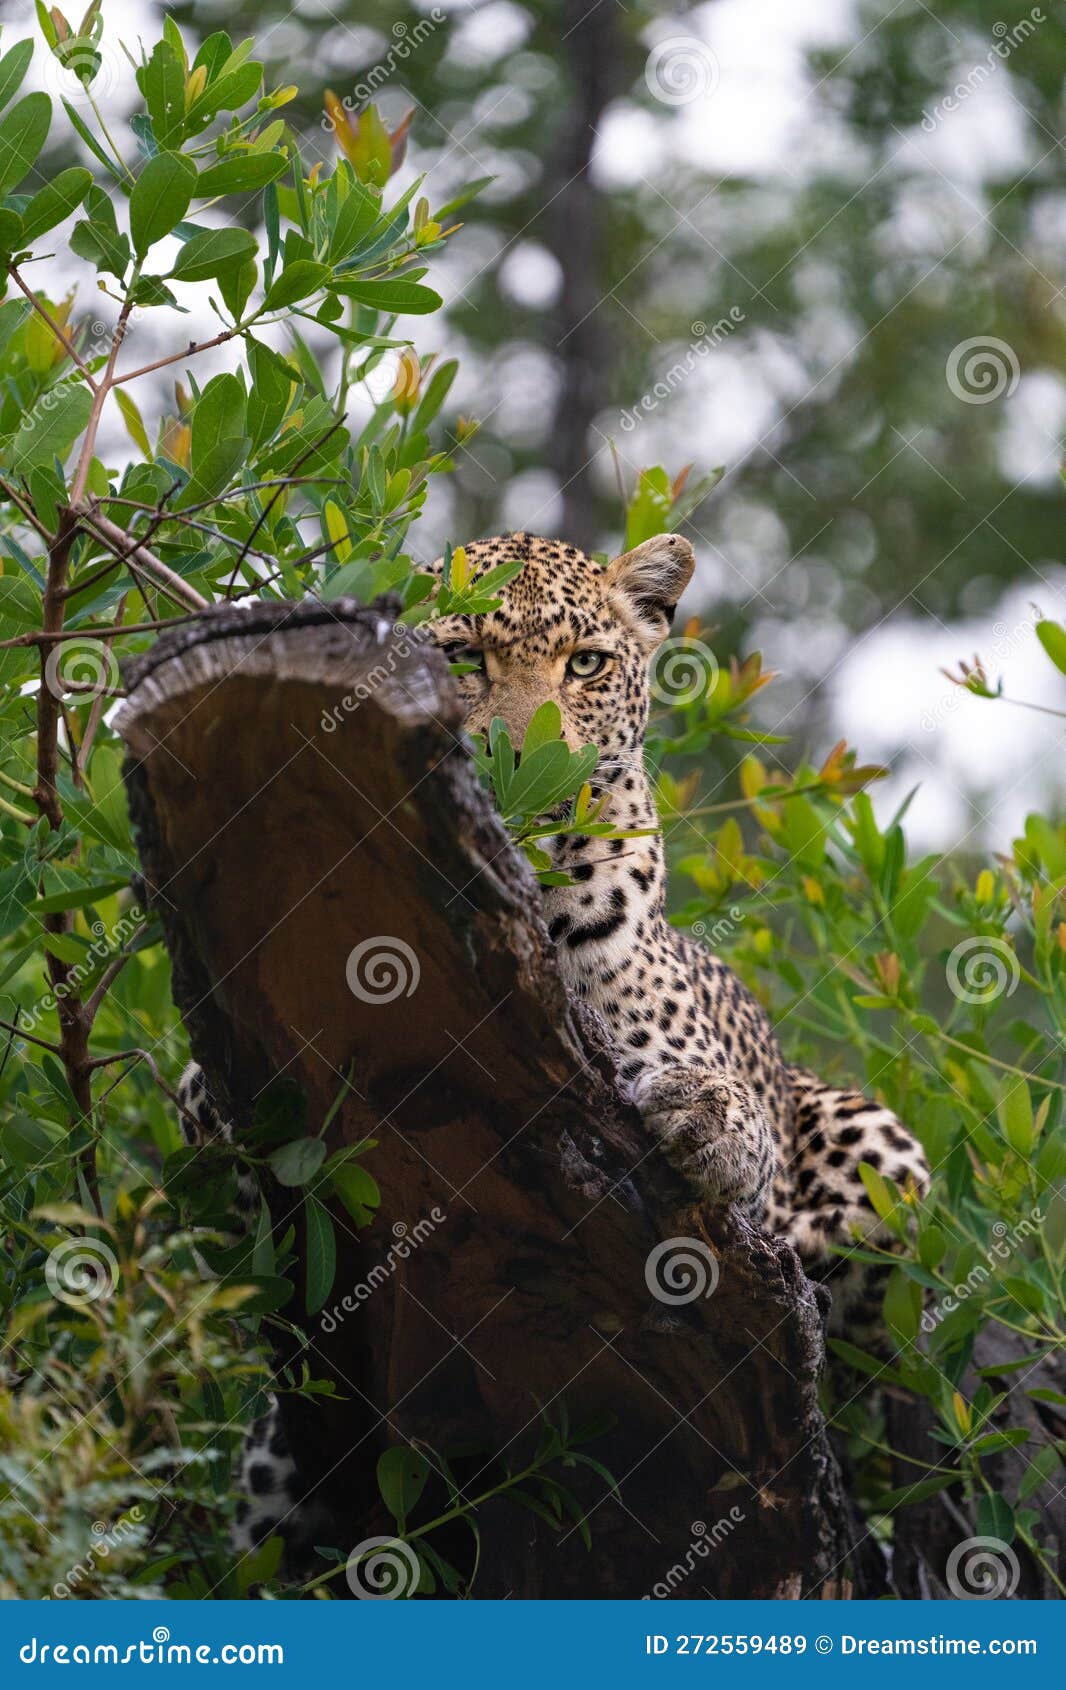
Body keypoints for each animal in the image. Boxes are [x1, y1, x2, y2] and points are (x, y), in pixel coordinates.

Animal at [175, 528, 929, 1557]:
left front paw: (708, 1118)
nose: (527, 756)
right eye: (463, 657)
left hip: (883, 1145)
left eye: (586, 666)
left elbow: (737, 1143)